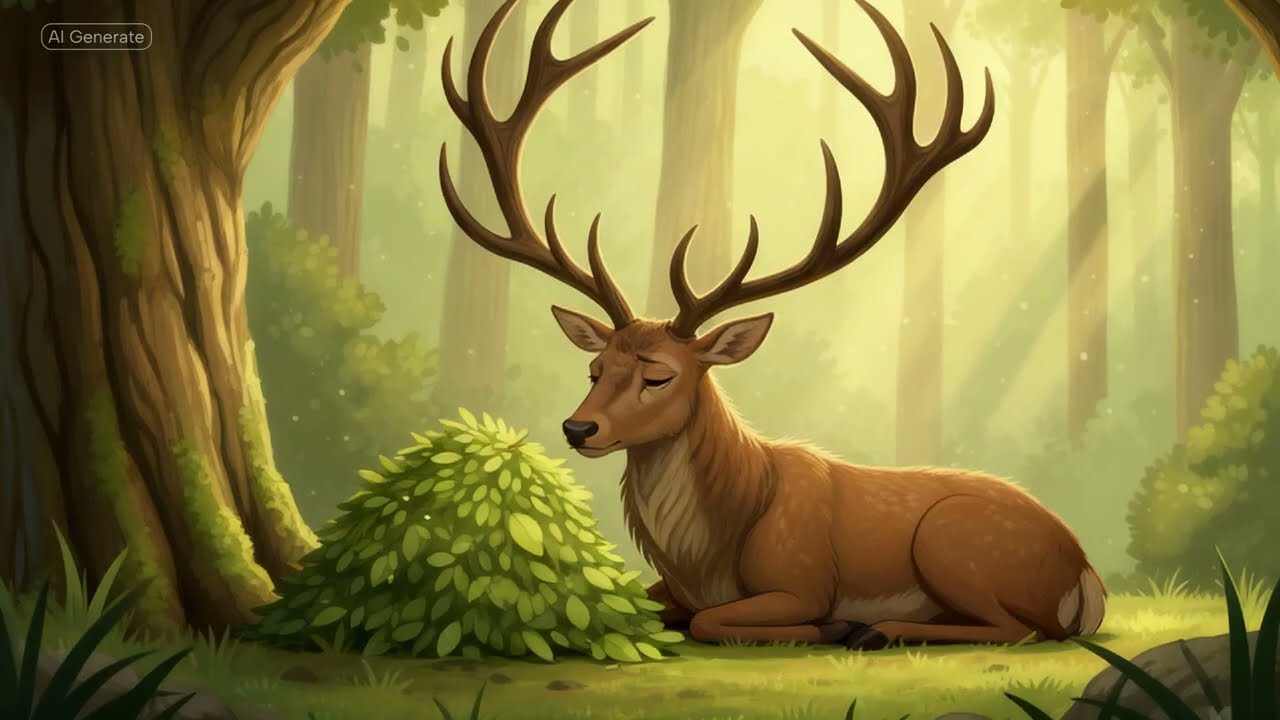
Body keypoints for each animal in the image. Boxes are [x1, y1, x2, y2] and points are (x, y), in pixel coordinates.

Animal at [438, 0, 1106, 650]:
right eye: (595, 368)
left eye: (658, 375)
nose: (578, 427)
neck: (708, 556)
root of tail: (1085, 574)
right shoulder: (667, 588)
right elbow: (659, 612)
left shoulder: (801, 579)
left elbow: (712, 622)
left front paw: (824, 626)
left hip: (955, 540)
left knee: (1017, 628)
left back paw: (873, 629)